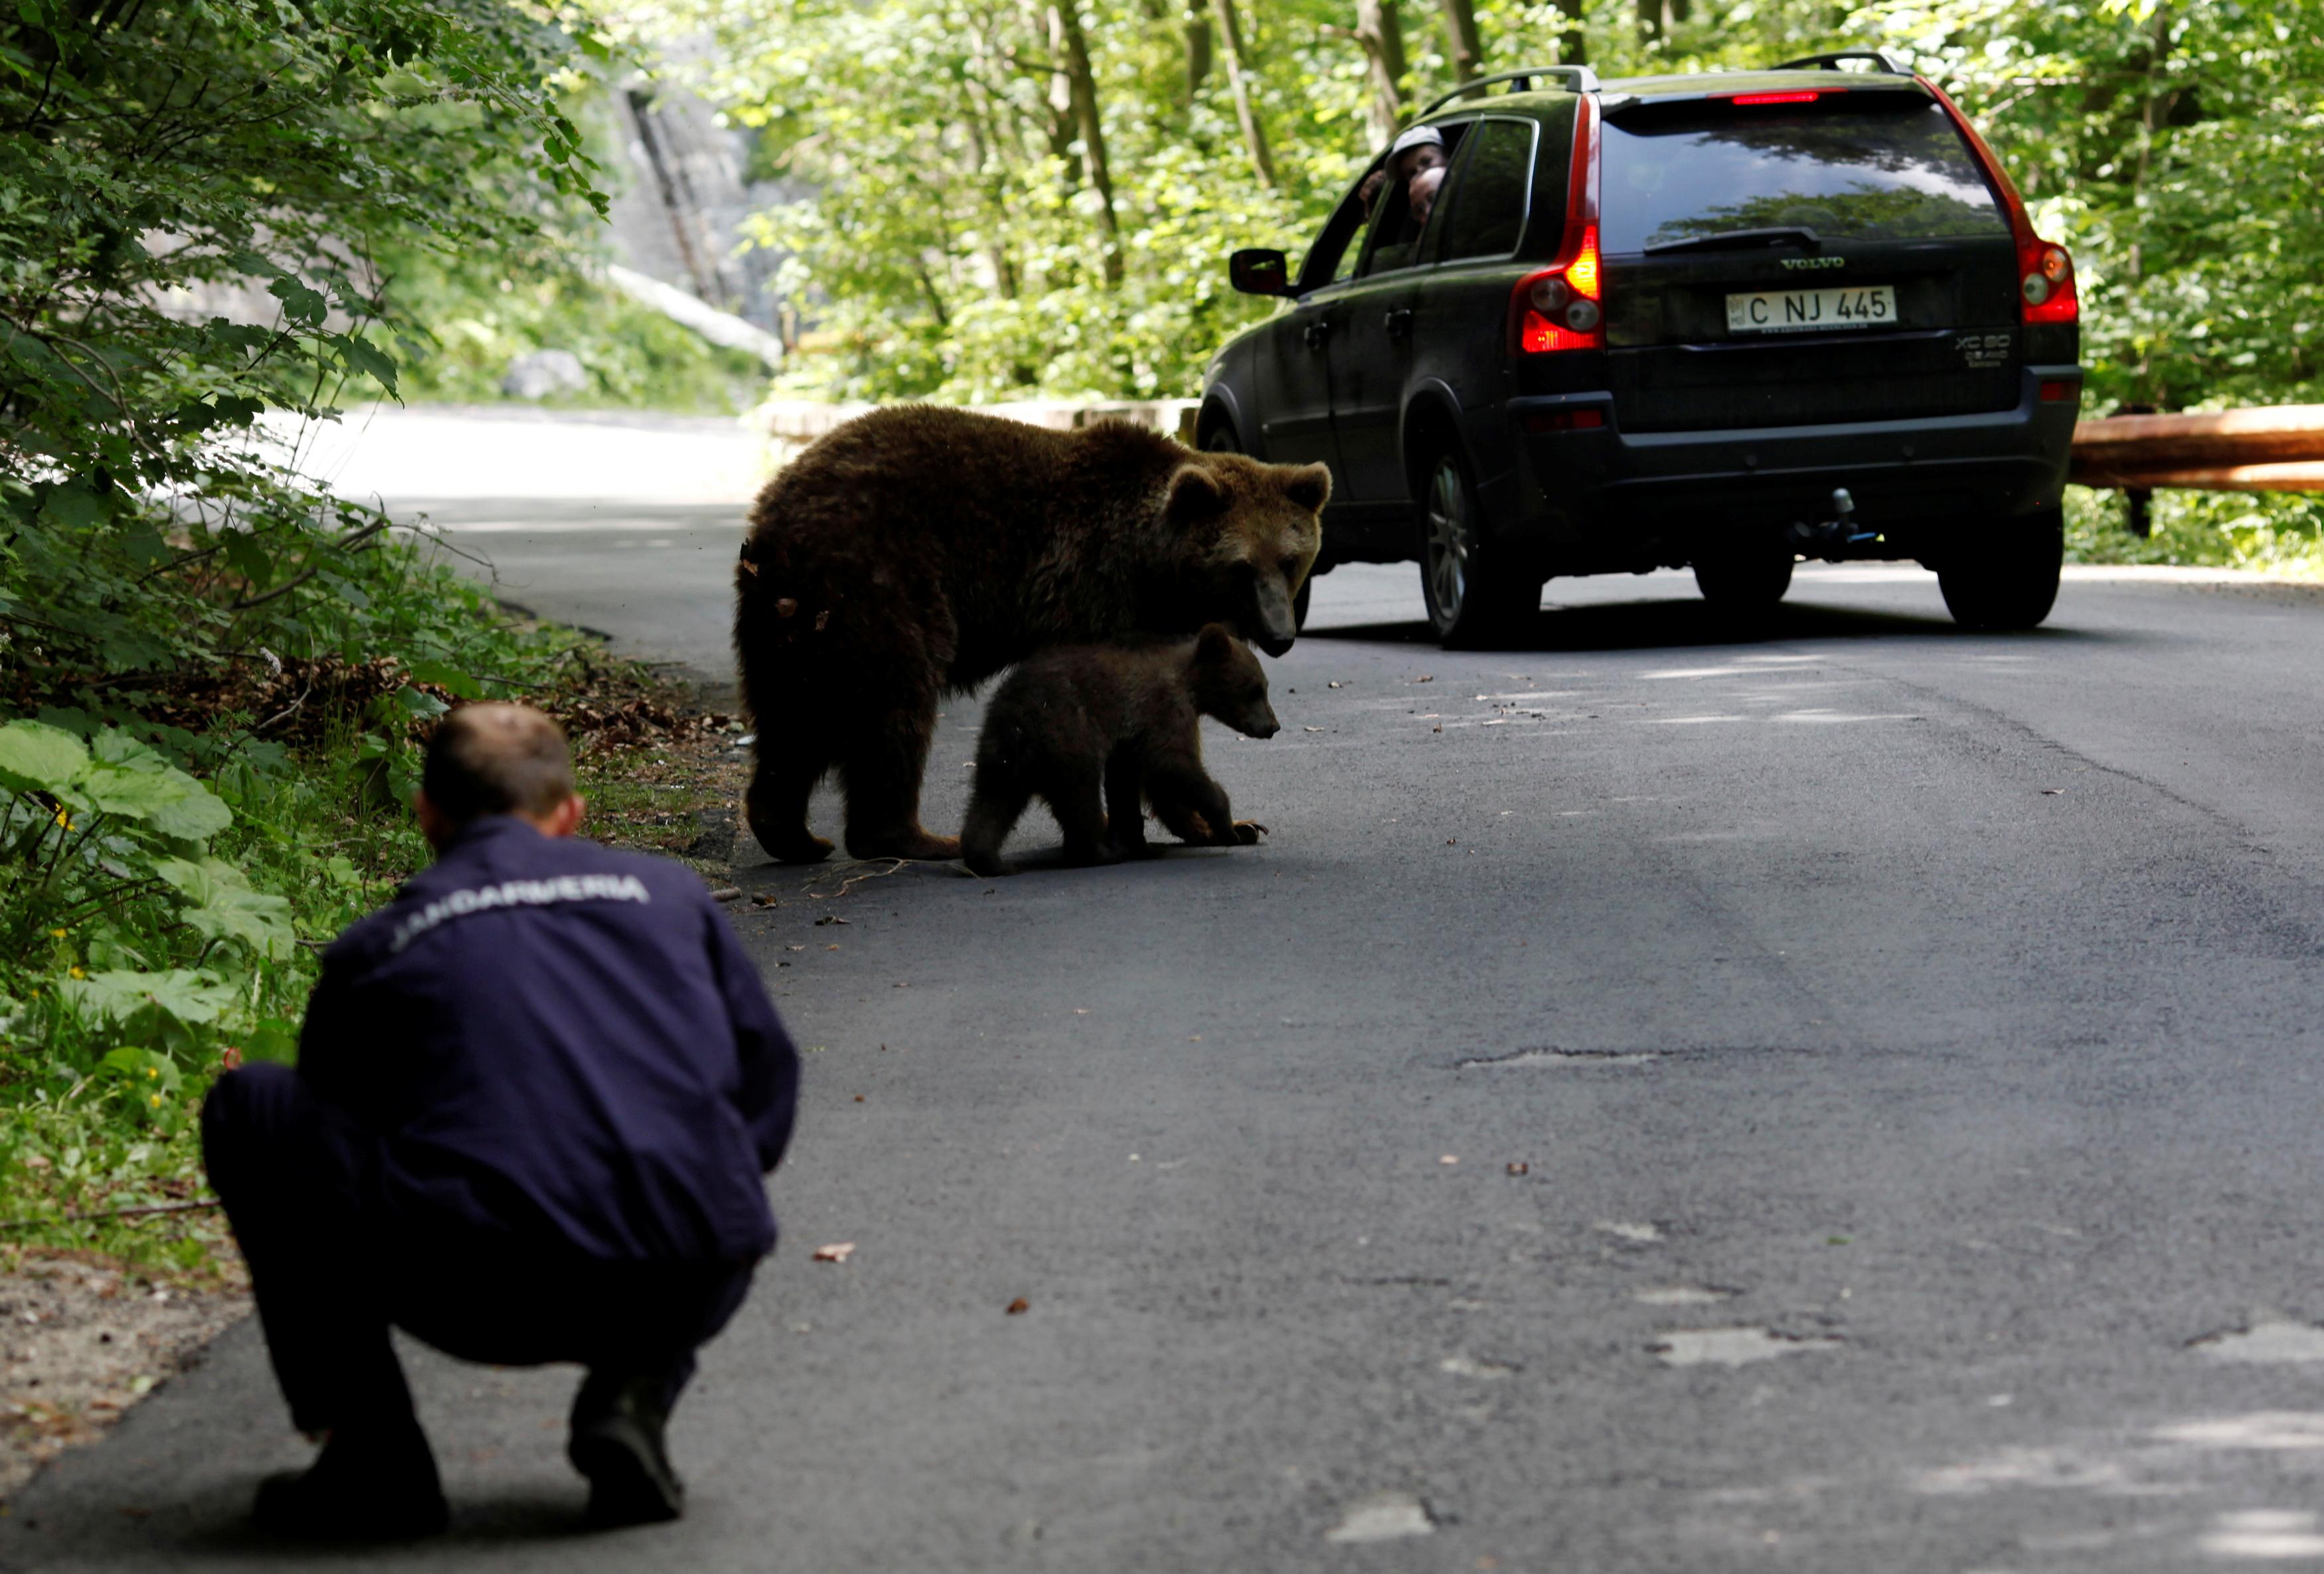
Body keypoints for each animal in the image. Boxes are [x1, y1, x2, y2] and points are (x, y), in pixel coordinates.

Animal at [960, 624, 1279, 878]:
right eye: (1255, 689)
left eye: (1264, 687)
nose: (1273, 726)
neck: (1191, 685)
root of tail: (1019, 720)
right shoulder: (1162, 708)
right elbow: (1171, 763)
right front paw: (1226, 824)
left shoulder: (1129, 739)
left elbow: (1129, 781)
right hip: (1069, 736)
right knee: (1080, 797)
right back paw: (1099, 853)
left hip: (1000, 752)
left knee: (992, 802)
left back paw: (989, 861)